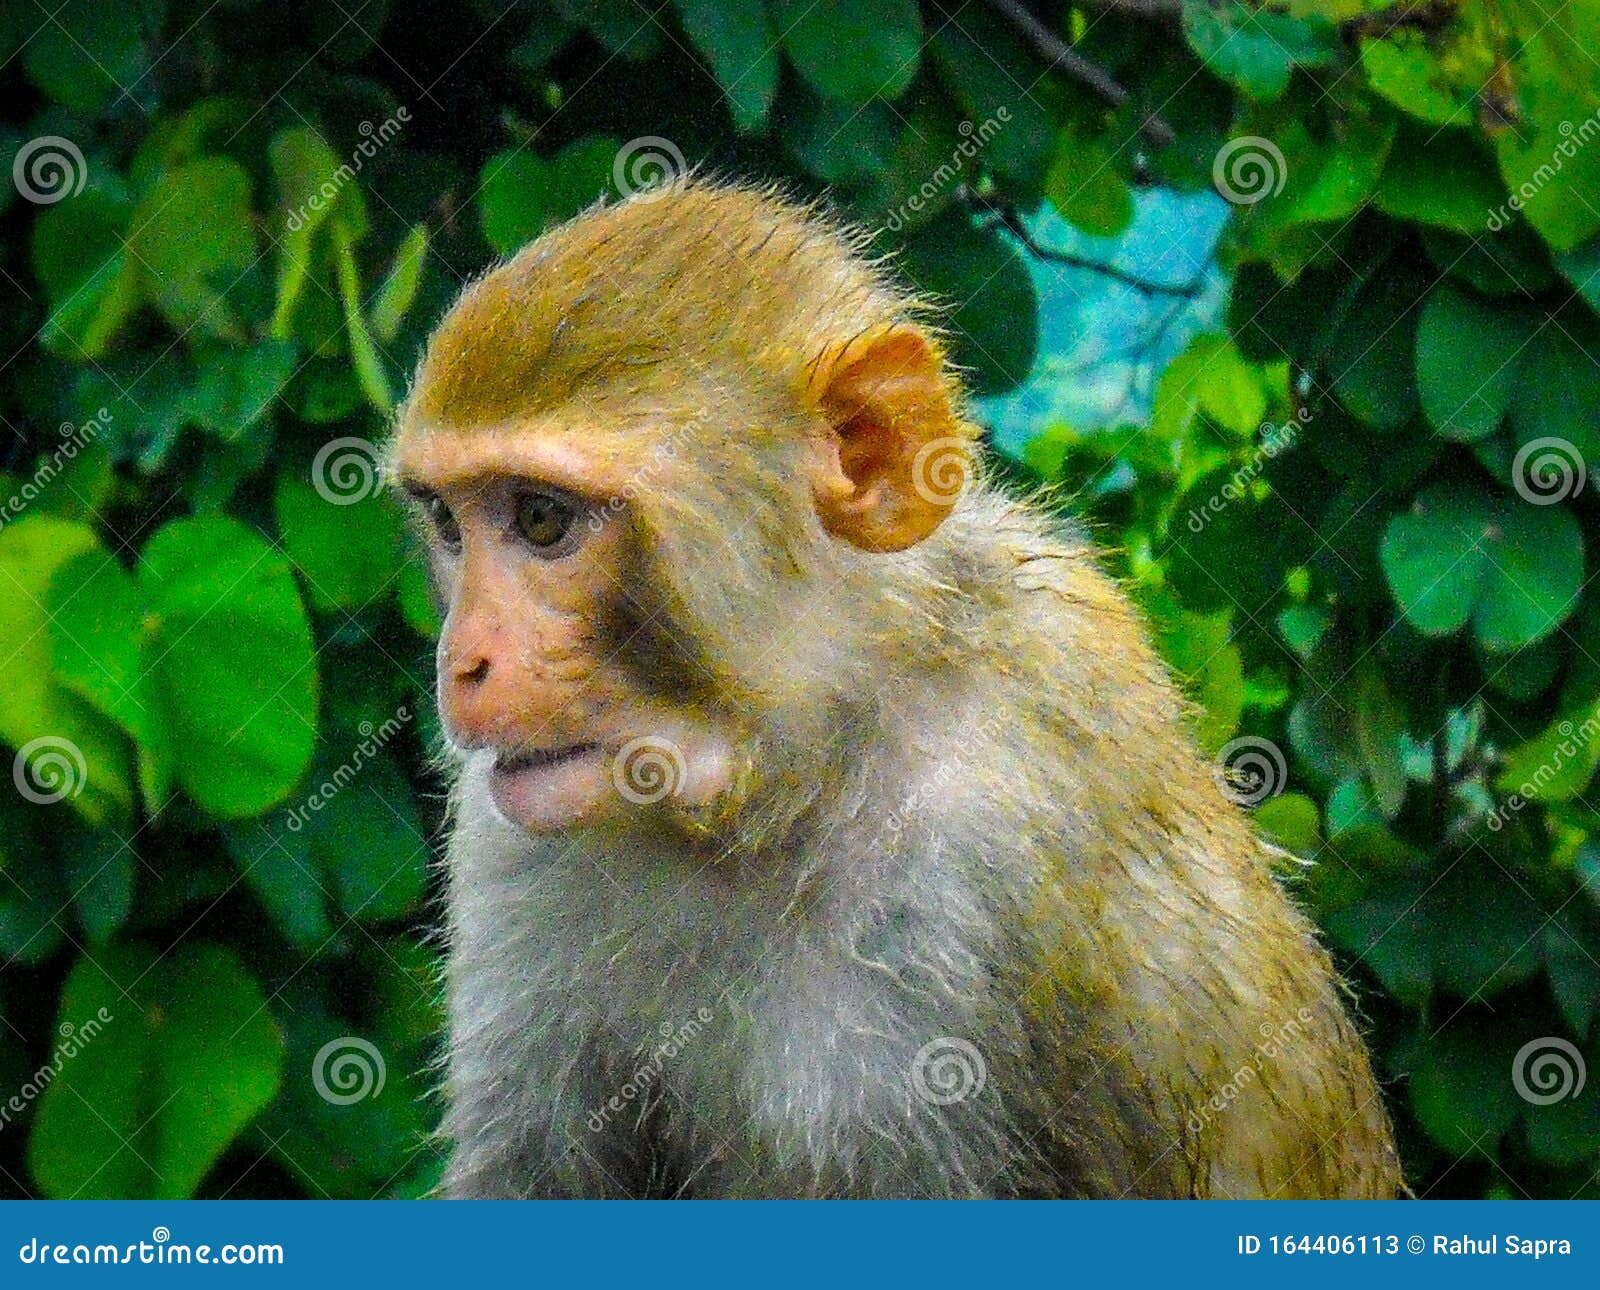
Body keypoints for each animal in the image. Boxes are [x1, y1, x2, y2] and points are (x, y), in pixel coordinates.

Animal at [387, 176, 1401, 1199]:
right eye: (450, 523)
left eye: (541, 520)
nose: (460, 660)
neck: (788, 784)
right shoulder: (506, 841)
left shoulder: (1015, 821)